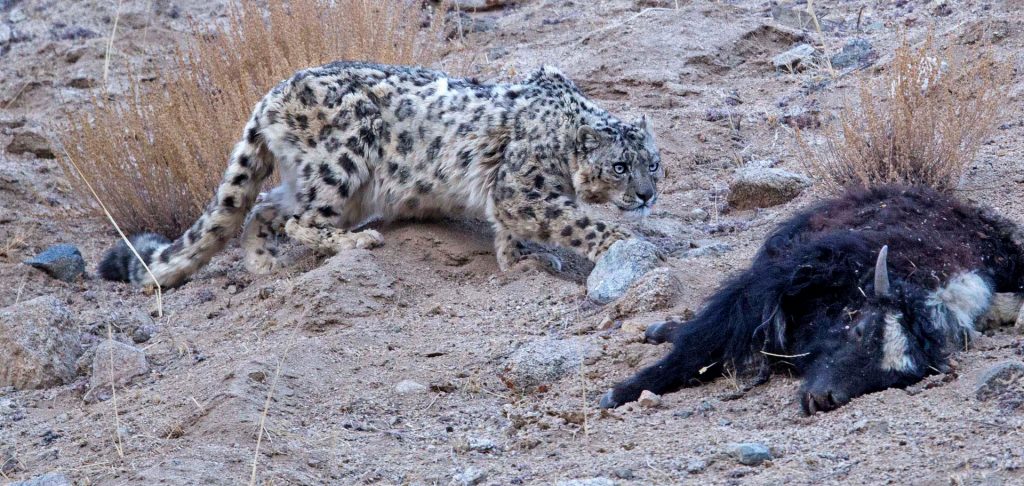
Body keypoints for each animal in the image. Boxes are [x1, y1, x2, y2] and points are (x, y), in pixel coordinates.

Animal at [99, 61, 663, 288]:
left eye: (653, 163)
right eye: (620, 166)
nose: (646, 195)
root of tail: (271, 94)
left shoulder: (515, 197)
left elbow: (512, 233)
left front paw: (520, 261)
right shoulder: (523, 191)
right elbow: (575, 221)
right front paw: (623, 245)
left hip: (316, 179)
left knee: (263, 207)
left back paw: (264, 264)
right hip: (344, 161)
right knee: (300, 218)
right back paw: (357, 243)